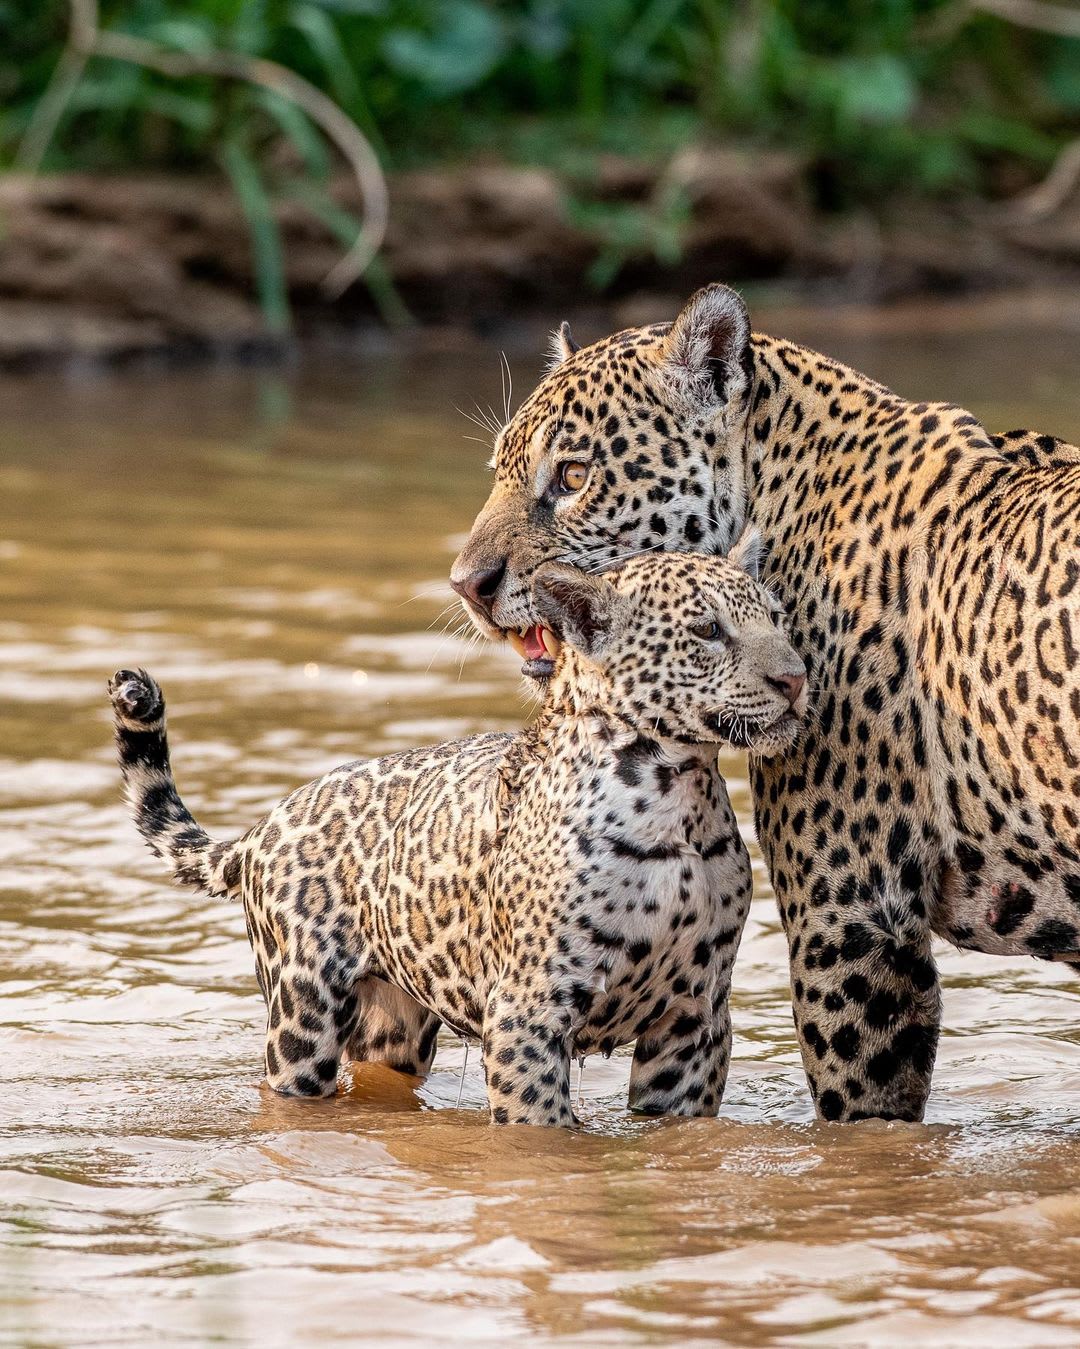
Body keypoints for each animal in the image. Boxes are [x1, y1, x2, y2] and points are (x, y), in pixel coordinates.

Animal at [108, 540, 806, 1126]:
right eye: (708, 631)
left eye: (778, 619)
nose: (797, 678)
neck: (674, 794)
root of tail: (263, 826)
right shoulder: (529, 1011)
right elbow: (541, 1132)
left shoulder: (696, 1018)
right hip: (301, 1018)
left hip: (396, 1027)